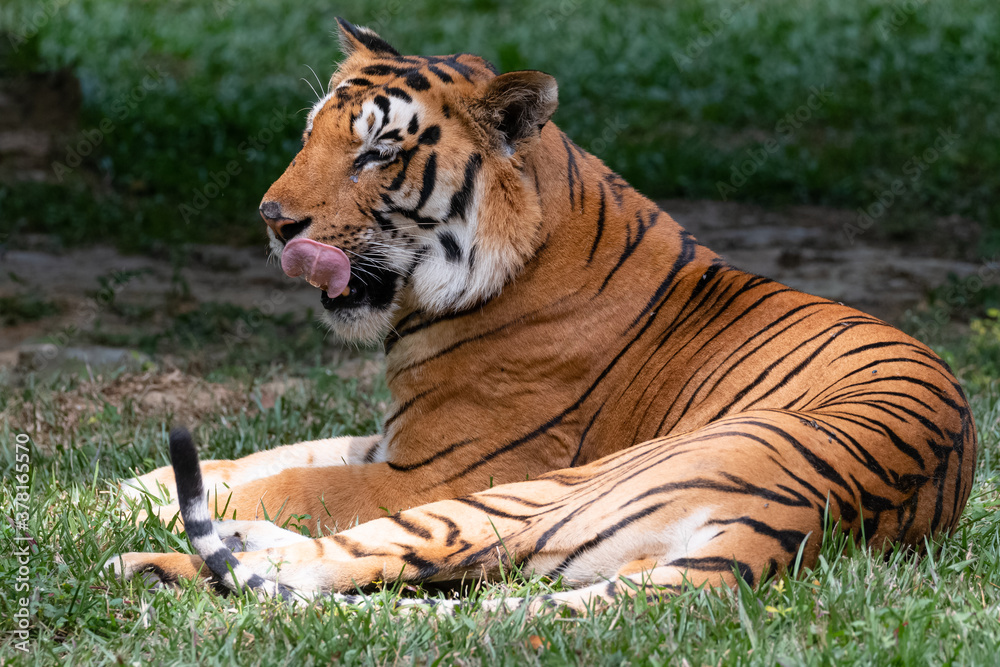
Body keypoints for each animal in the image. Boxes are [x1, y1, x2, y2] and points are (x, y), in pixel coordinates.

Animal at [110, 18, 977, 612]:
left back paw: (142, 564)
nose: (273, 220)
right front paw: (120, 488)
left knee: (324, 563)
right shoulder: (391, 434)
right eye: (308, 135)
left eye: (377, 152)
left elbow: (287, 480)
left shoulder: (434, 465)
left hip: (531, 492)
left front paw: (102, 507)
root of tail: (794, 521)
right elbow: (261, 457)